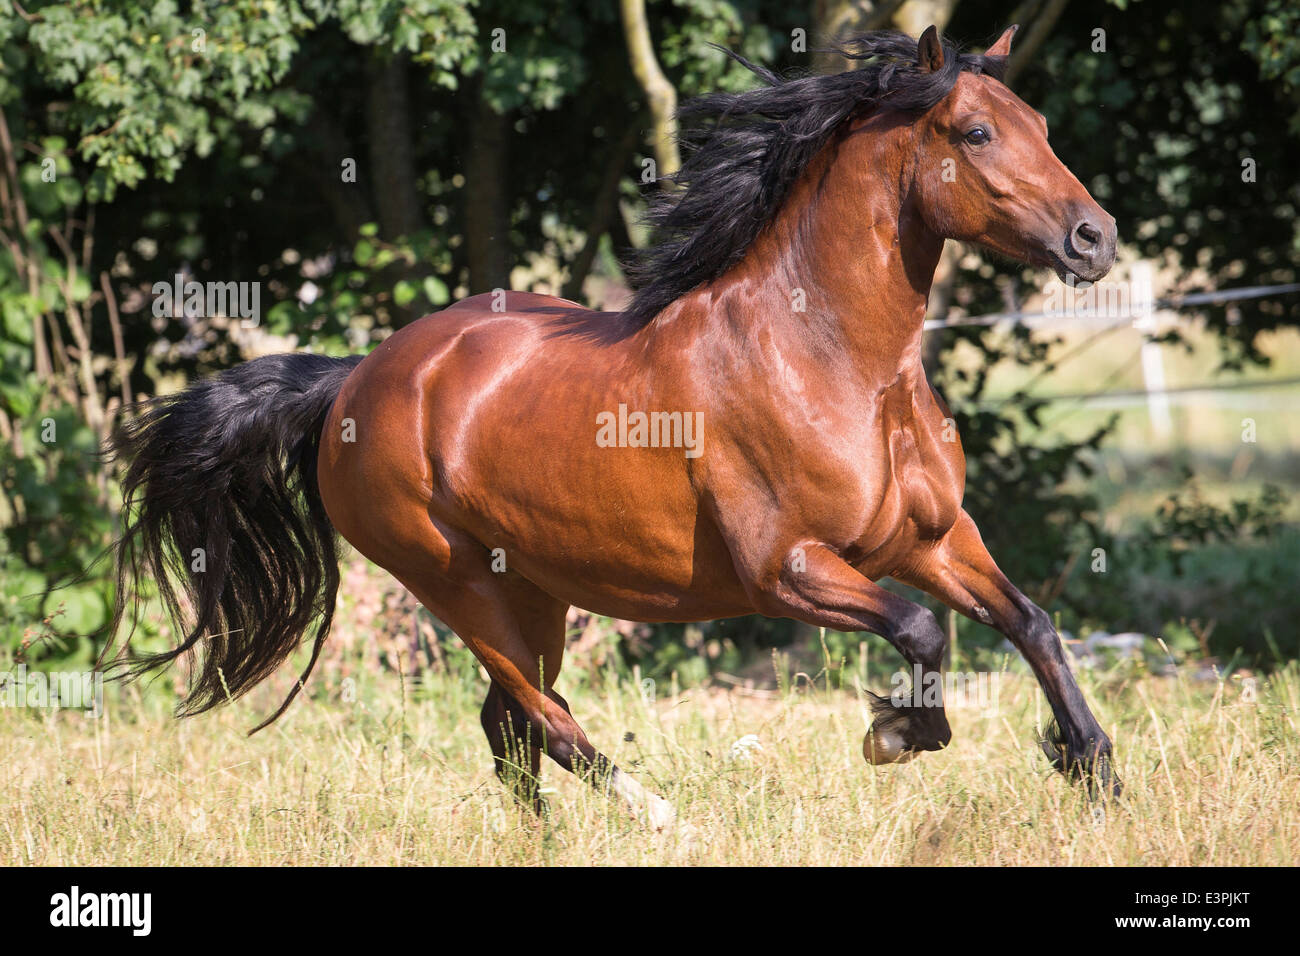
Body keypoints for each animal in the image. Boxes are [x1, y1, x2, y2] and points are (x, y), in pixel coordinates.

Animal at [105, 25, 1121, 832]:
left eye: (1040, 124)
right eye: (977, 132)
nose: (1095, 239)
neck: (831, 361)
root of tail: (352, 381)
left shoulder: (933, 540)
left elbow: (1031, 624)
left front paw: (1094, 770)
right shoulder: (788, 569)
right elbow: (919, 631)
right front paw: (896, 733)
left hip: (533, 595)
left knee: (507, 728)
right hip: (456, 585)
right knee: (545, 720)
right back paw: (662, 816)